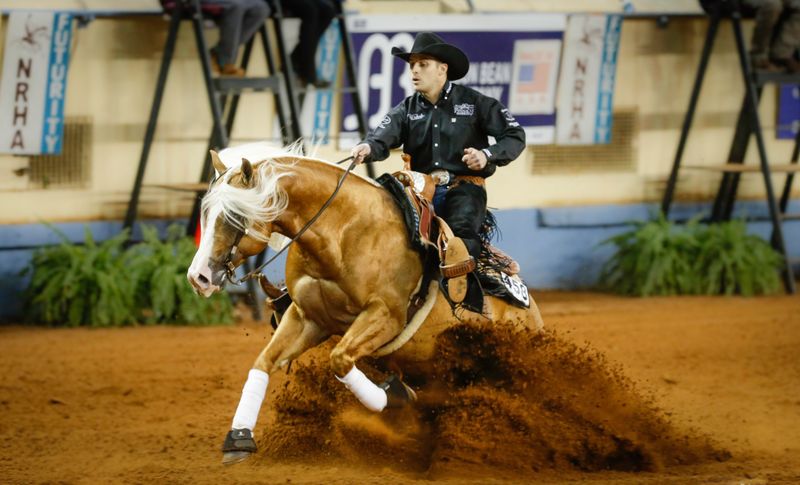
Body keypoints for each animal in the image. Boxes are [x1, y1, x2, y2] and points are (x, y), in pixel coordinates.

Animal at [187, 142, 544, 464]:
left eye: (235, 215)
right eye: (205, 214)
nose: (198, 277)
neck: (345, 232)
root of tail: (533, 318)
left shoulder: (385, 316)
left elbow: (341, 360)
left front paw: (395, 394)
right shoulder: (307, 317)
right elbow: (263, 363)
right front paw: (239, 438)